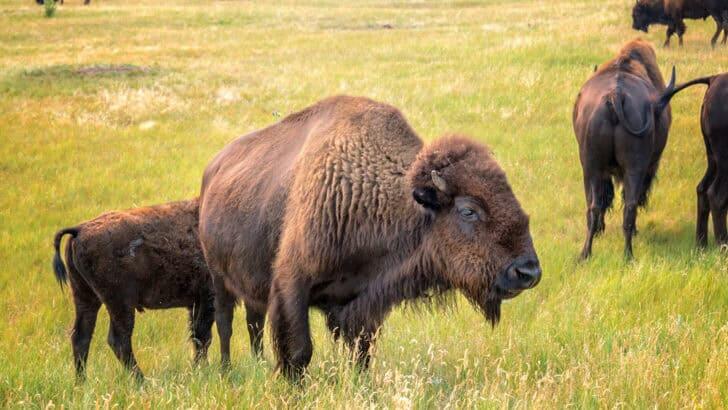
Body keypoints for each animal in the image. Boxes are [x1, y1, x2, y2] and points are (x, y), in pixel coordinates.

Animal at [52, 199, 214, 380]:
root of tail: (79, 230)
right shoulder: (208, 297)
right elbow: (203, 335)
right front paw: (204, 370)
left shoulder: (197, 302)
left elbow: (197, 336)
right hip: (120, 303)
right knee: (119, 339)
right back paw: (142, 381)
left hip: (86, 297)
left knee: (81, 337)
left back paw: (82, 382)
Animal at [199, 95, 541, 380]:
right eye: (468, 210)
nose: (528, 272)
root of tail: (213, 168)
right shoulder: (291, 284)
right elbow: (299, 352)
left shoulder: (362, 302)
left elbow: (361, 353)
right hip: (218, 277)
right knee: (225, 323)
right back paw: (226, 369)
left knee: (253, 324)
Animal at [573, 39, 678, 260]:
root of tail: (616, 95)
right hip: (634, 169)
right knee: (628, 204)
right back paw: (626, 253)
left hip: (592, 167)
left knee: (597, 206)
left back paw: (589, 254)